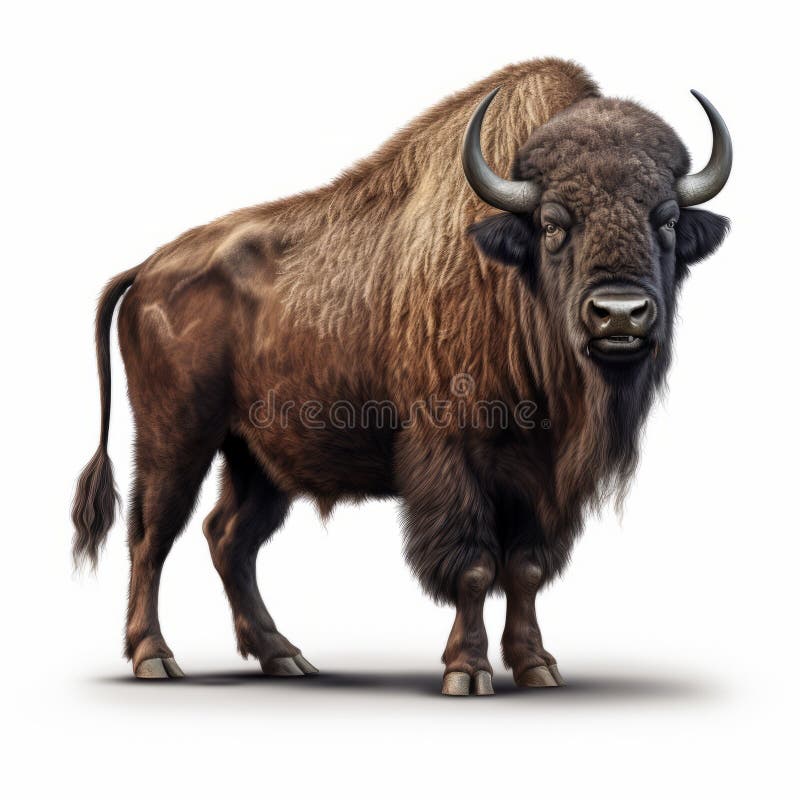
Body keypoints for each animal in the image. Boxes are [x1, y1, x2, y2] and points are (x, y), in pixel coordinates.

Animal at [72, 58, 731, 694]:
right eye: (551, 223)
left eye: (667, 220)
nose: (619, 314)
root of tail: (147, 269)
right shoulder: (452, 459)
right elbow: (474, 567)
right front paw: (467, 672)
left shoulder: (541, 481)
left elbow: (527, 569)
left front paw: (537, 667)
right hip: (176, 438)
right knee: (152, 535)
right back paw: (155, 659)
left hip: (256, 458)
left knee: (228, 537)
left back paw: (284, 656)